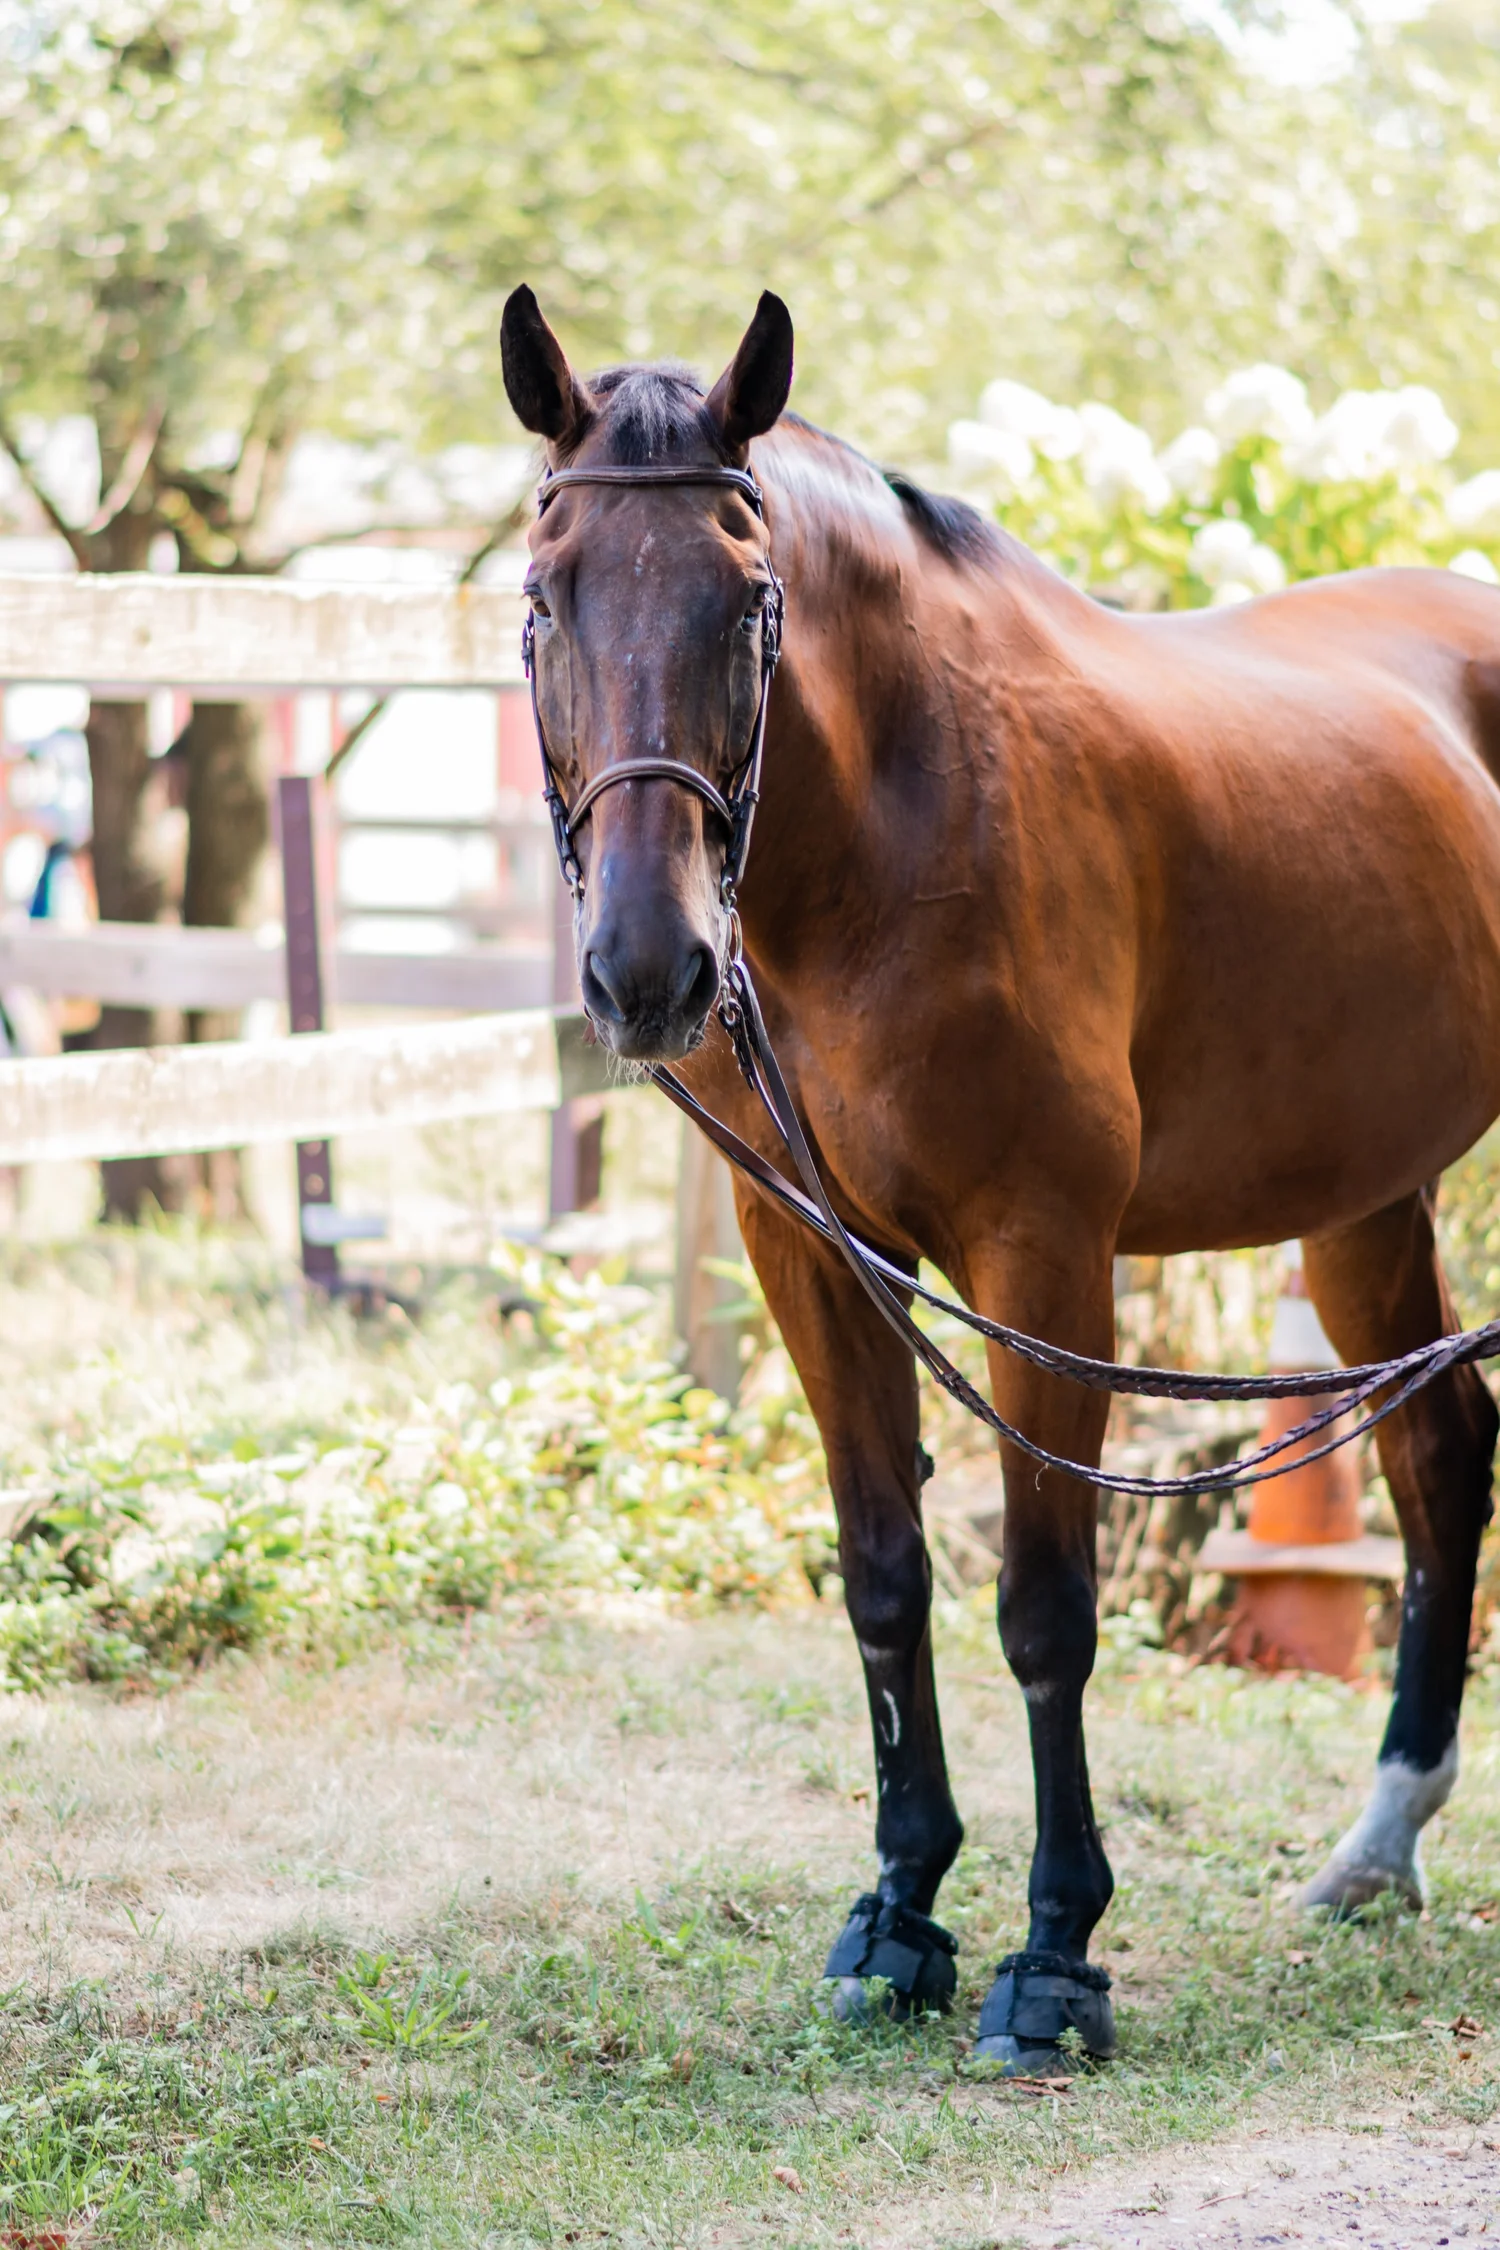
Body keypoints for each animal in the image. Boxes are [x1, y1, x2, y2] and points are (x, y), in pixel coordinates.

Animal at [501, 282, 1500, 2074]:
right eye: (546, 594)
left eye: (751, 606)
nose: (646, 969)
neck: (894, 830)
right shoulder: (815, 1249)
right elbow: (887, 1577)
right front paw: (900, 1917)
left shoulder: (1047, 1257)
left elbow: (1044, 1606)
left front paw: (1056, 1955)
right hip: (1362, 1197)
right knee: (1444, 1451)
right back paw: (1381, 1841)